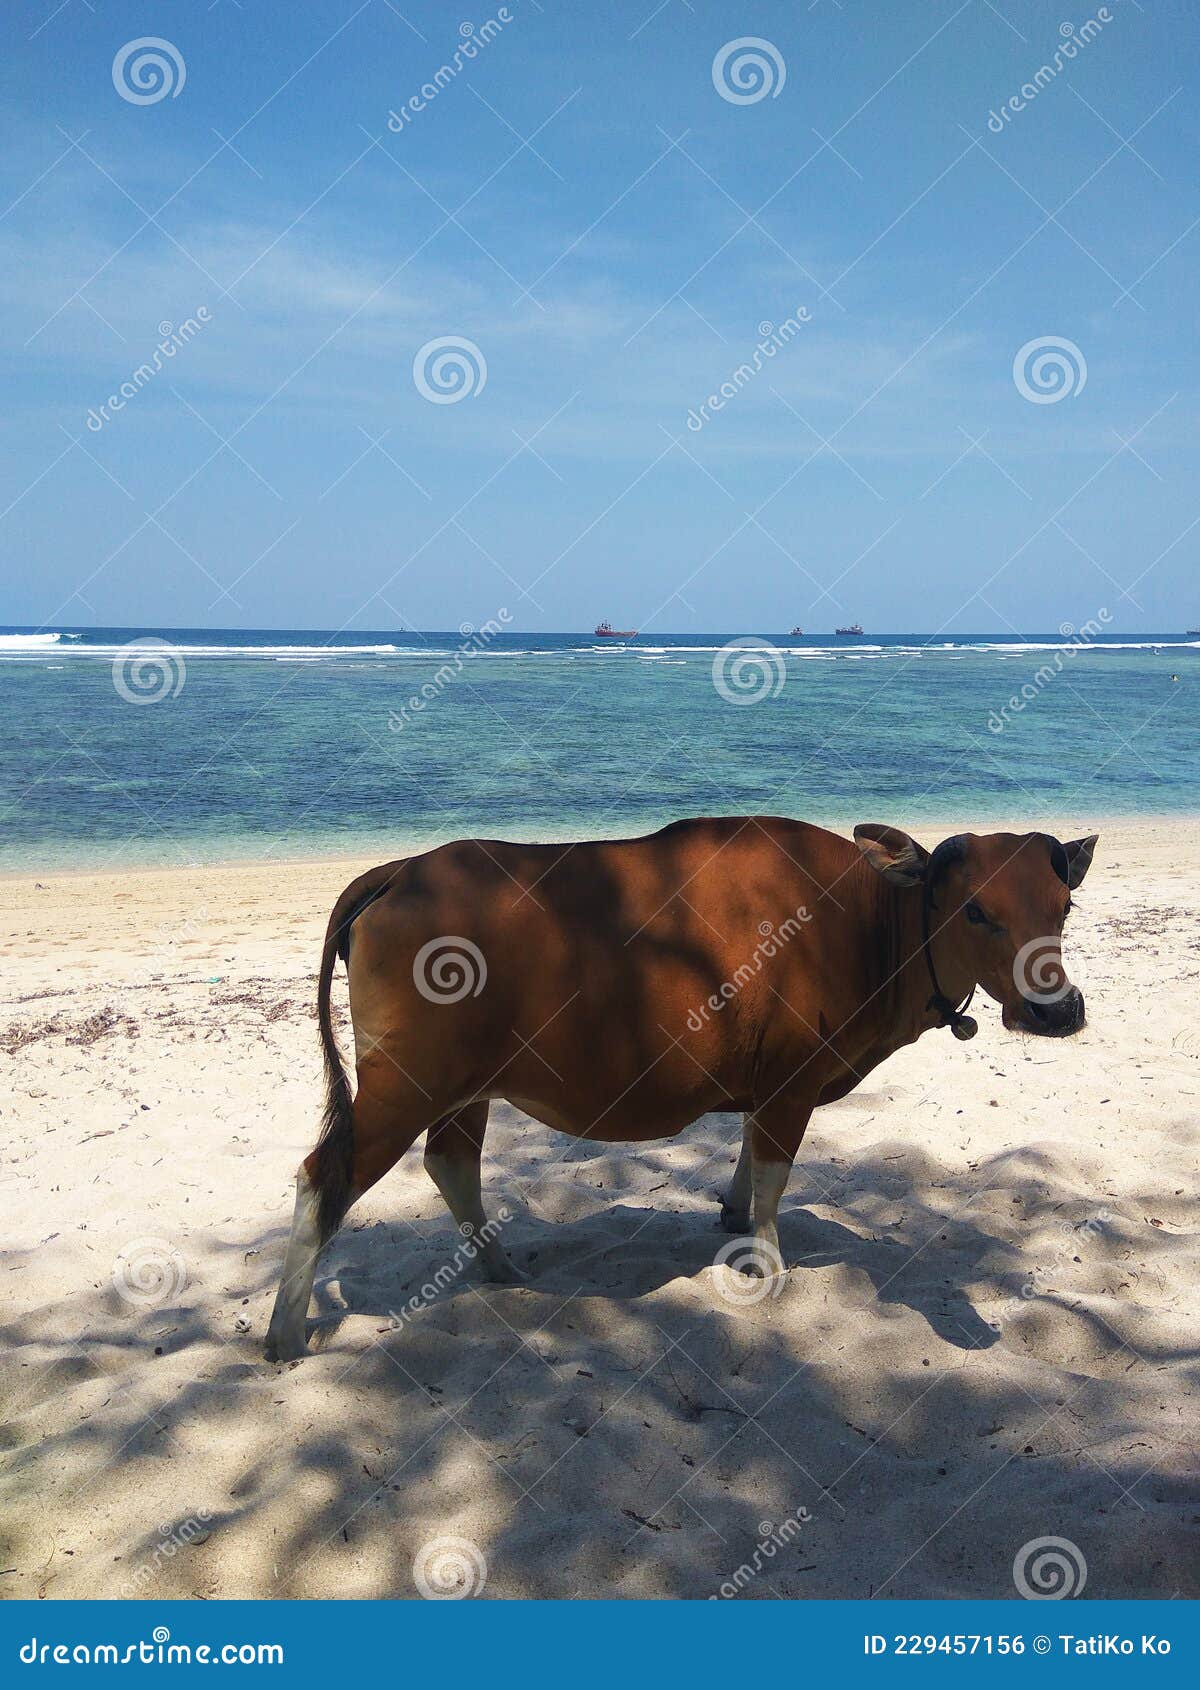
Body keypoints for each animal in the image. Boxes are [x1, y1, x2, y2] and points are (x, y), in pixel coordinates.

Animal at [265, 817, 1097, 1361]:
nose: (1056, 1008)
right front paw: (766, 1260)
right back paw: (285, 1331)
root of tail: (402, 870)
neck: (862, 922)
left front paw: (731, 1214)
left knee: (450, 1162)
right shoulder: (792, 1080)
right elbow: (775, 1173)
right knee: (323, 1176)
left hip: (467, 1087)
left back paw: (499, 1268)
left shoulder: (768, 1086)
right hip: (403, 1087)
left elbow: (750, 1157)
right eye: (977, 909)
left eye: (1062, 908)